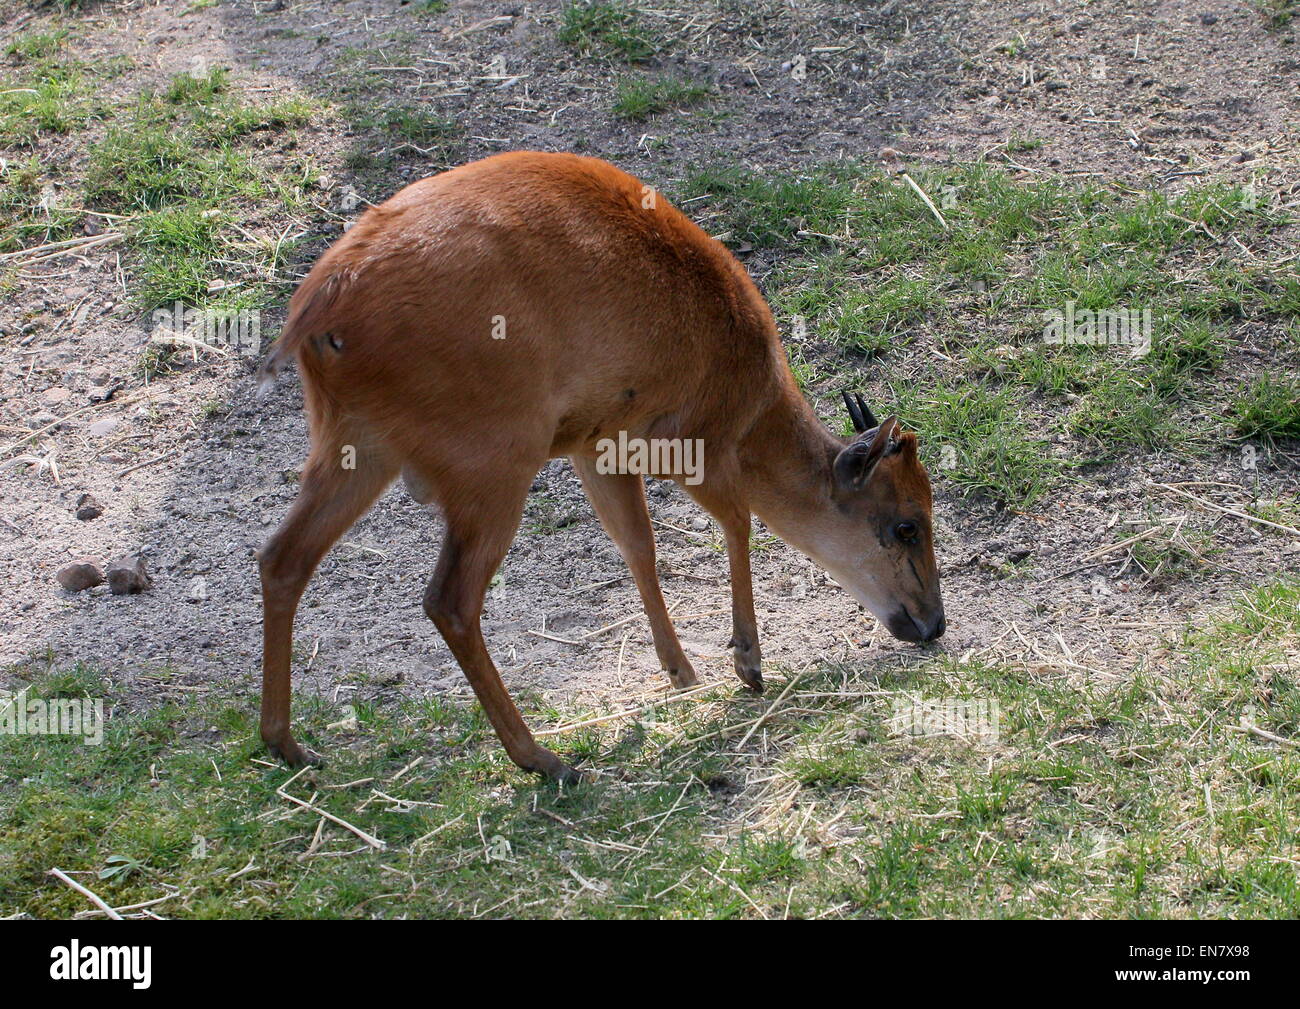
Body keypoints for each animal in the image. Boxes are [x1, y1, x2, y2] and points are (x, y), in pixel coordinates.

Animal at [257, 151, 945, 782]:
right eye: (907, 523)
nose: (933, 623)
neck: (751, 401)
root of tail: (319, 310)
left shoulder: (594, 446)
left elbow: (637, 542)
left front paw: (681, 670)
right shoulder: (682, 443)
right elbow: (737, 524)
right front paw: (747, 664)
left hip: (354, 446)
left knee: (282, 558)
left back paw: (287, 744)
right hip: (494, 464)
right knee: (449, 599)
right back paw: (542, 758)